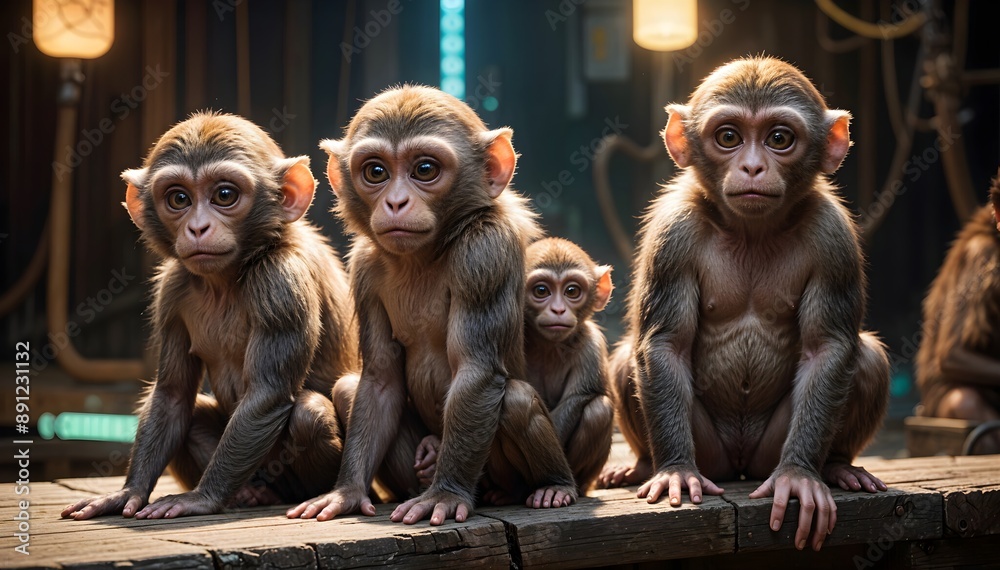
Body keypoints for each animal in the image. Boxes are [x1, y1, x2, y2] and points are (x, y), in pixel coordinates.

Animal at [61, 112, 359, 520]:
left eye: (224, 195)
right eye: (179, 198)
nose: (198, 226)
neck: (228, 279)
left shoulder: (281, 282)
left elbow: (267, 394)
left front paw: (202, 497)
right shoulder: (171, 292)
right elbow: (172, 394)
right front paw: (128, 492)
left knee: (308, 415)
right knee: (195, 413)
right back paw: (250, 494)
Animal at [286, 85, 577, 526]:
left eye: (425, 169)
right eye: (376, 172)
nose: (396, 202)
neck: (425, 255)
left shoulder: (484, 252)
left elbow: (476, 373)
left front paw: (445, 493)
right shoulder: (365, 268)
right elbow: (380, 379)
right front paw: (346, 491)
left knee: (516, 402)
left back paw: (552, 485)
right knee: (350, 388)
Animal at [597, 57, 890, 552]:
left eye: (779, 138)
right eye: (729, 137)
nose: (753, 167)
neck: (753, 231)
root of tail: (738, 464)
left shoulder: (833, 238)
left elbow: (827, 350)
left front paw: (799, 475)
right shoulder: (673, 233)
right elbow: (666, 345)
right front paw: (675, 469)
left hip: (763, 456)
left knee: (865, 358)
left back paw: (835, 465)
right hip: (713, 457)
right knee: (626, 359)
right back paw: (645, 464)